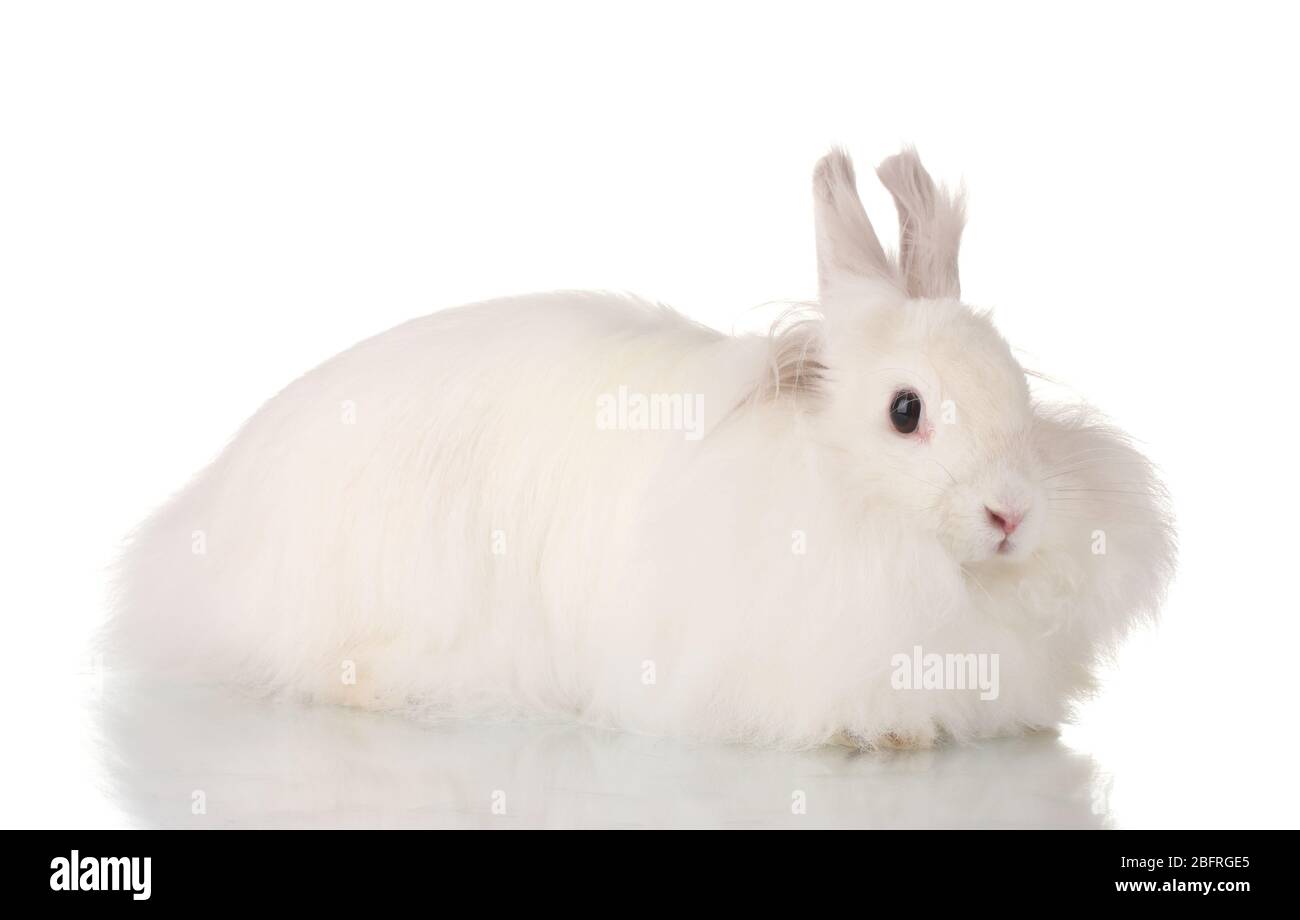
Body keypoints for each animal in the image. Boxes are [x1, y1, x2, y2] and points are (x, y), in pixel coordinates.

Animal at [108, 147, 1176, 750]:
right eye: (905, 412)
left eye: (1019, 389)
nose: (1013, 513)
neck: (836, 496)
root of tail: (201, 524)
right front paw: (888, 741)